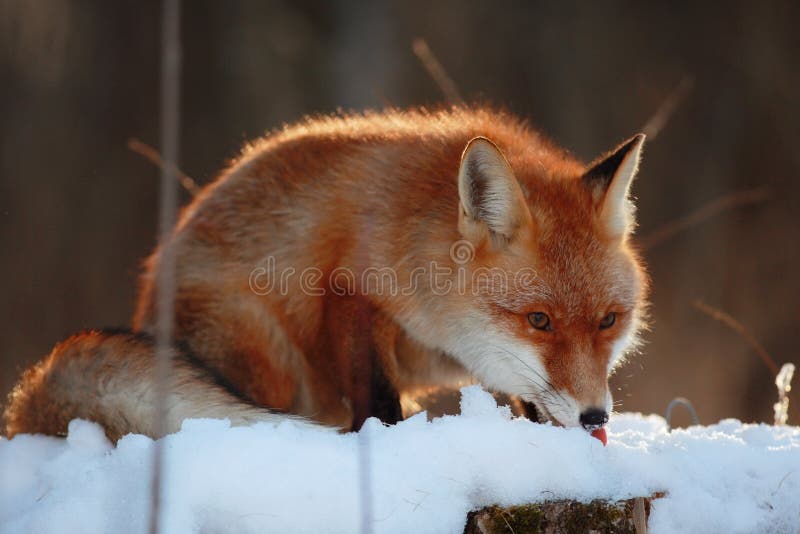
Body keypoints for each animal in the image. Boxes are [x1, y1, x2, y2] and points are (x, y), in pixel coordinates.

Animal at [4, 107, 648, 442]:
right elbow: (378, 405)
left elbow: (525, 398)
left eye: (608, 322)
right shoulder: (348, 290)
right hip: (265, 351)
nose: (597, 416)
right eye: (538, 320)